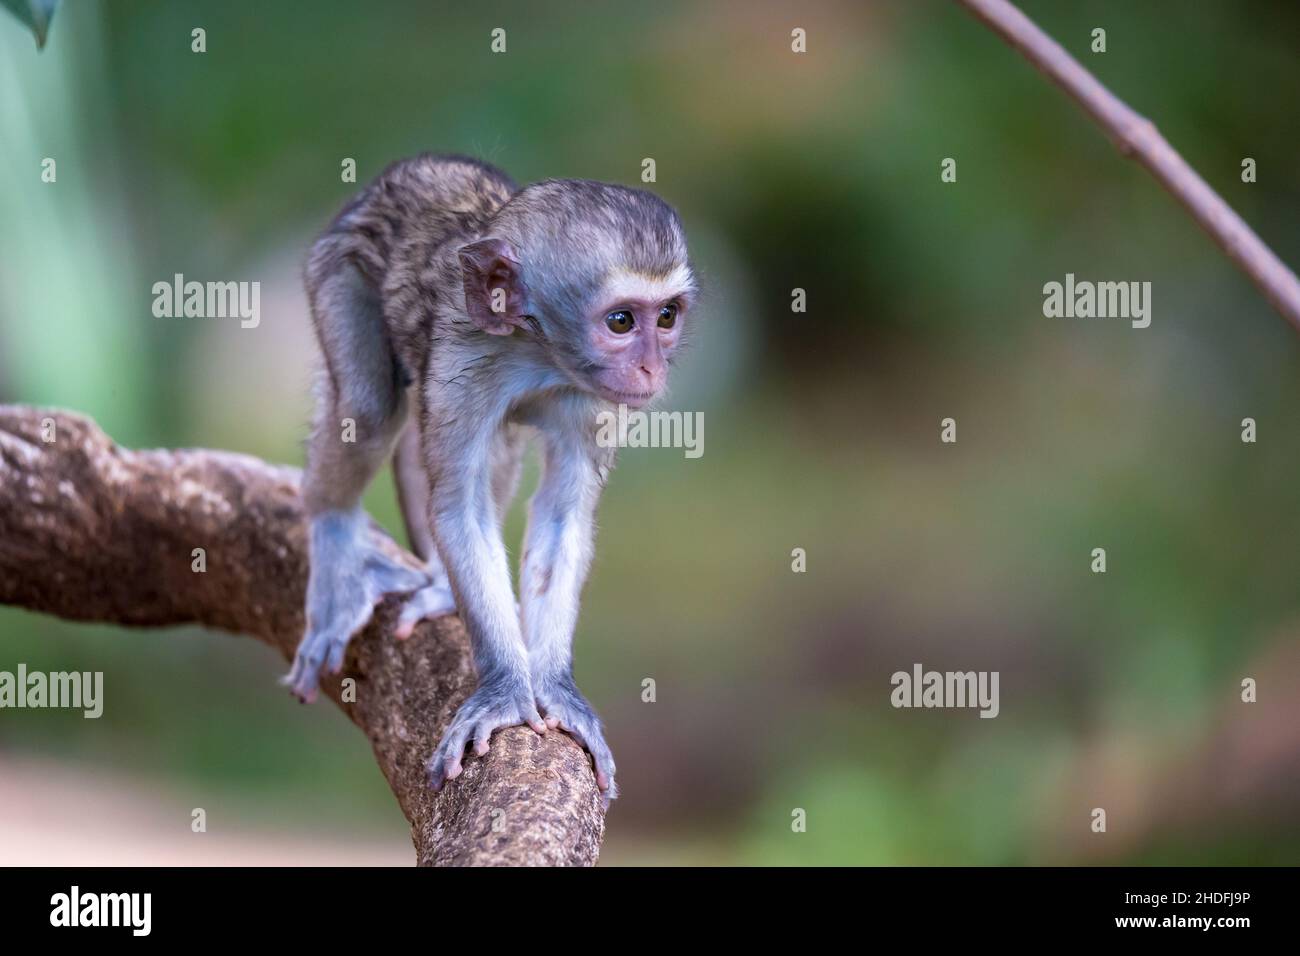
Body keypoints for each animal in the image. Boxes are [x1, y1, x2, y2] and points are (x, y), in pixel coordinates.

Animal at [282, 154, 697, 798]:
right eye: (622, 321)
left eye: (668, 316)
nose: (652, 367)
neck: (539, 355)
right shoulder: (464, 358)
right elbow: (459, 508)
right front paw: (505, 688)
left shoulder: (592, 398)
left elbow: (561, 516)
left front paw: (554, 688)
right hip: (338, 263)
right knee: (368, 408)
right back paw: (334, 544)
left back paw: (436, 582)